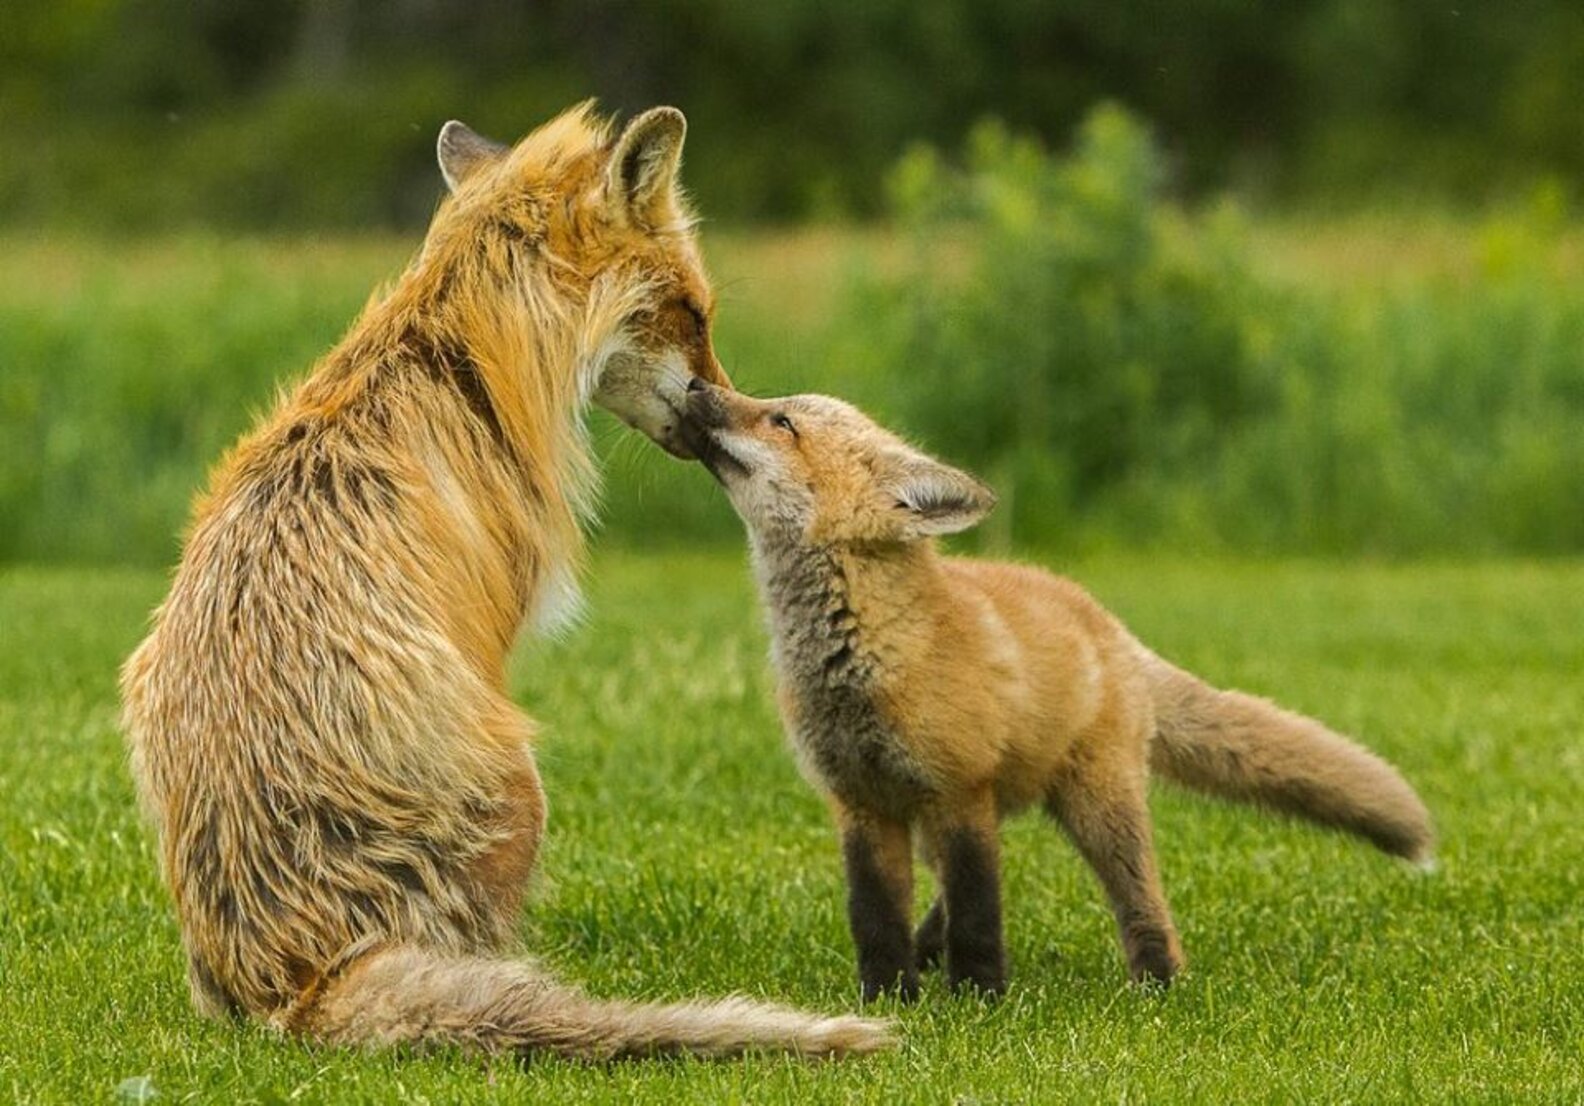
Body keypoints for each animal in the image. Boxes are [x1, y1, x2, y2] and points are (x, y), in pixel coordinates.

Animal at [678, 380, 1435, 1000]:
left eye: (780, 420)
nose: (694, 385)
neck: (863, 660)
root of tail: (1110, 626)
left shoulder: (959, 791)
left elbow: (980, 912)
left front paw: (979, 1000)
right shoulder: (863, 802)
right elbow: (875, 918)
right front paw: (888, 999)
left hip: (1097, 807)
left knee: (1139, 898)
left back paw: (1157, 982)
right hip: (963, 811)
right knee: (946, 895)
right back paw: (928, 954)